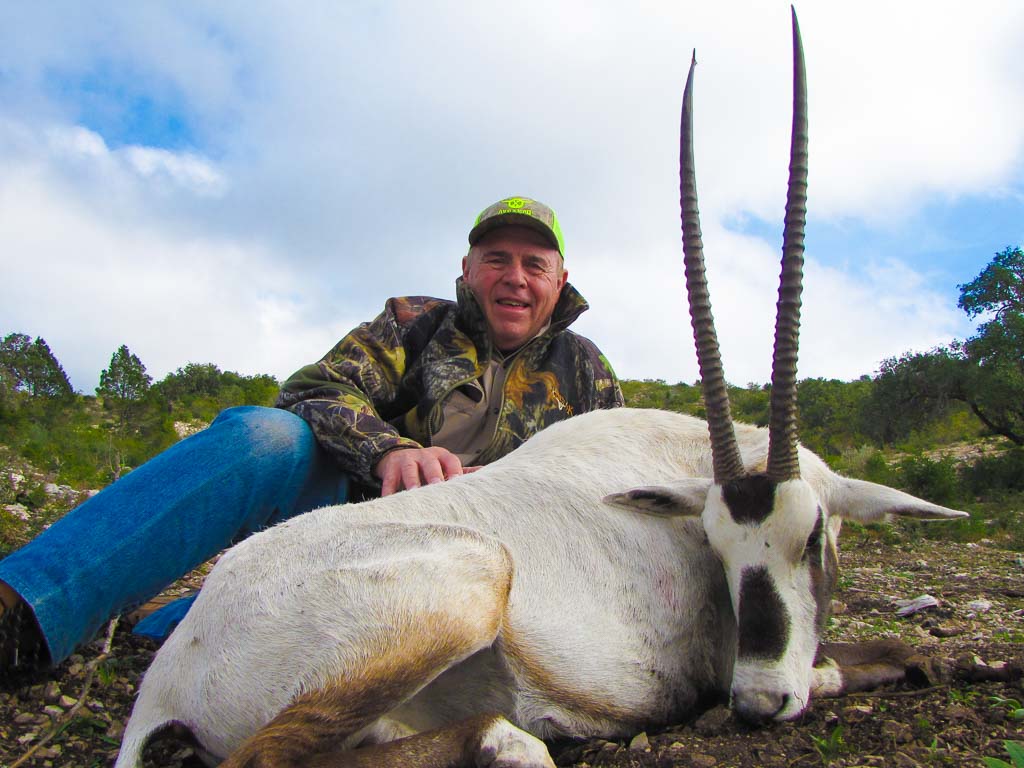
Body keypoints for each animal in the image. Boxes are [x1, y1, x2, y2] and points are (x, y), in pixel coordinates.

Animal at [115, 11, 966, 768]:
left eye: (813, 536)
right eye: (719, 544)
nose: (758, 704)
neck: (672, 463)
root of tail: (168, 679)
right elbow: (850, 660)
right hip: (471, 578)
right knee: (265, 759)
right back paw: (513, 742)